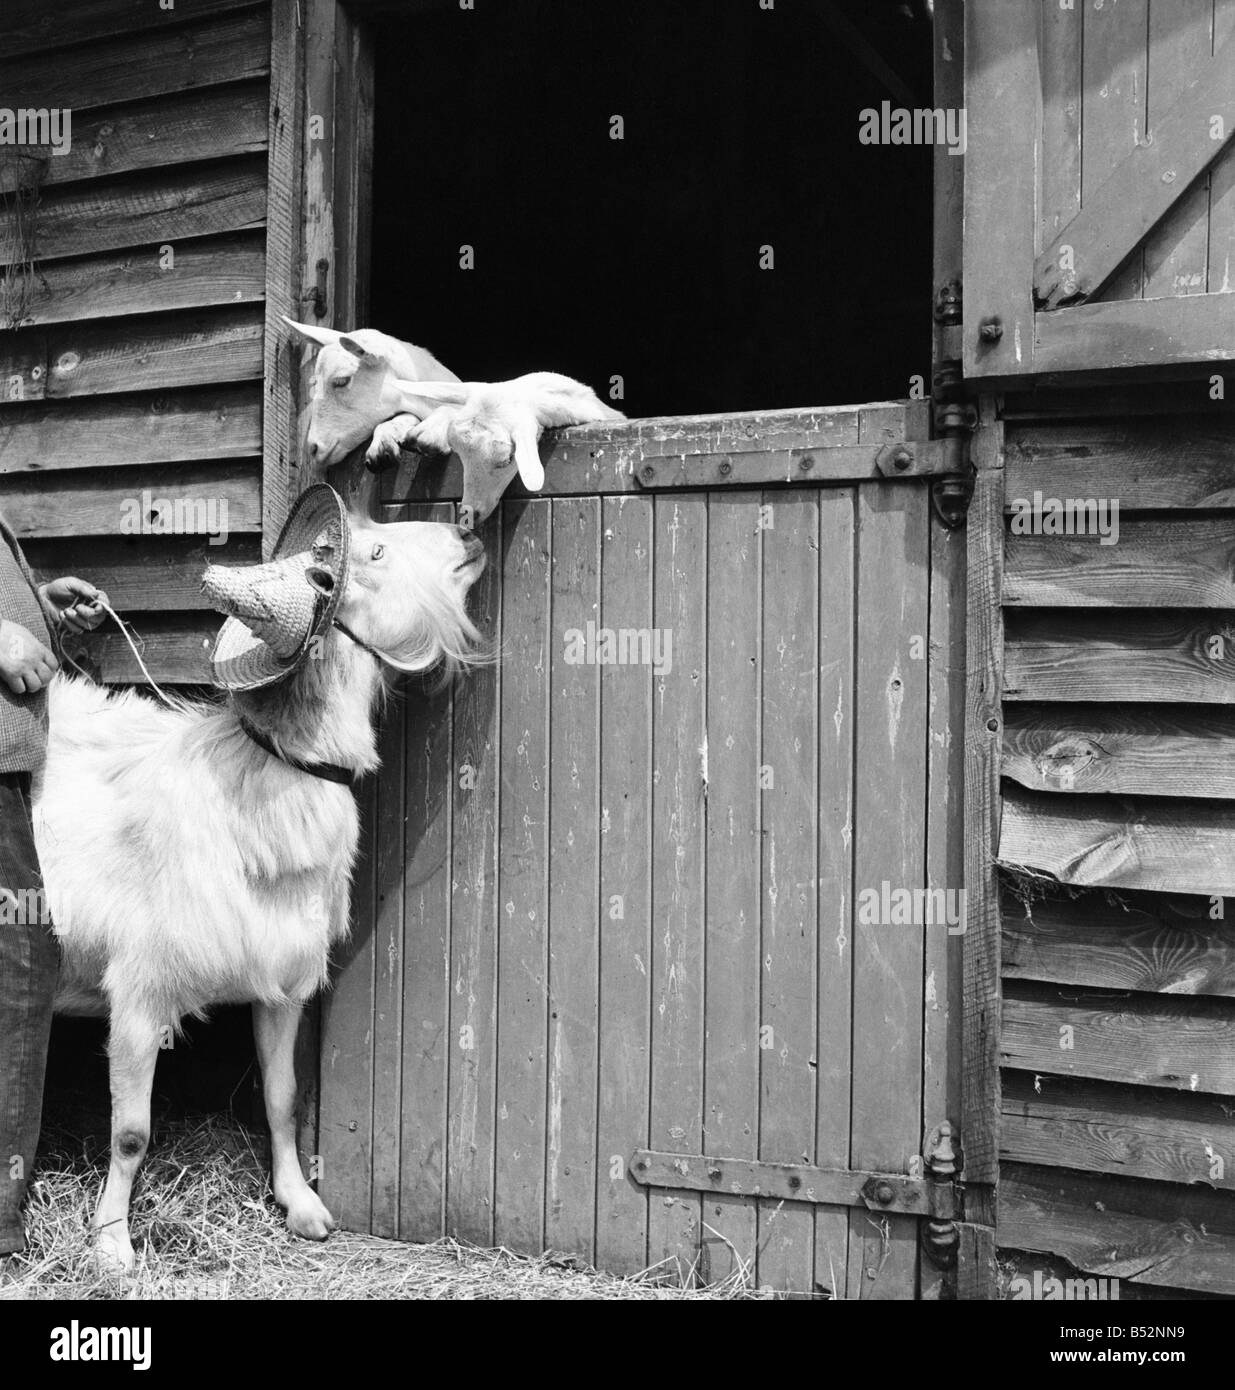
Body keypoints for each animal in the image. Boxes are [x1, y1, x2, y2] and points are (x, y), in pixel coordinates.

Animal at [35, 510, 485, 1272]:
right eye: (376, 550)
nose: (468, 534)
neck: (254, 781)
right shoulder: (139, 989)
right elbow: (131, 1132)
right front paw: (113, 1243)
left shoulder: (282, 979)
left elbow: (282, 1096)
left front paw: (300, 1203)